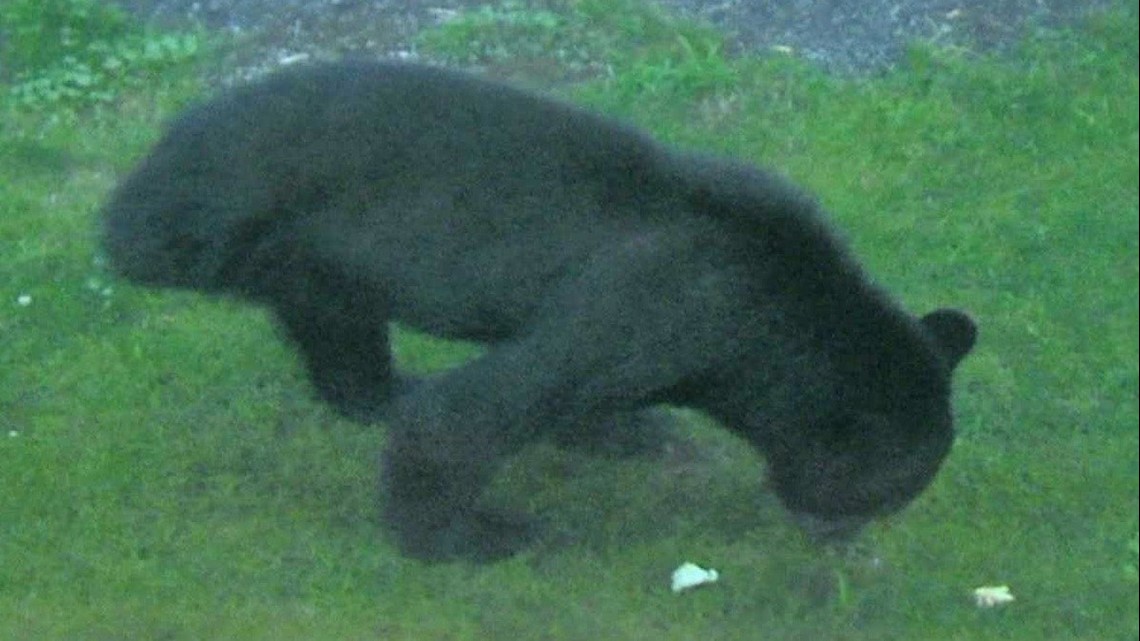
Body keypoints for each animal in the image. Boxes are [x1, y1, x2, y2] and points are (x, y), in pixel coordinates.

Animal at [101, 61, 977, 562]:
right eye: (889, 486)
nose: (844, 540)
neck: (778, 329)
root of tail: (149, 170)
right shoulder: (667, 307)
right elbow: (473, 411)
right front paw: (480, 534)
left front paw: (633, 431)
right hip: (249, 230)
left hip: (310, 254)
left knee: (336, 327)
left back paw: (380, 386)